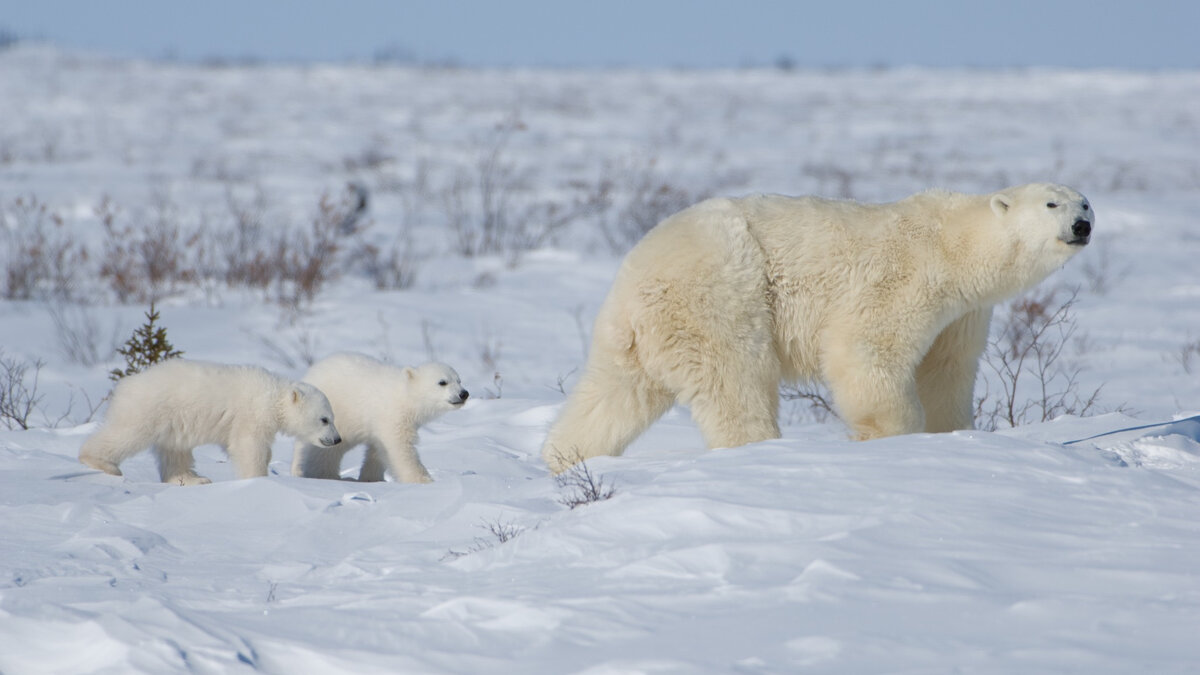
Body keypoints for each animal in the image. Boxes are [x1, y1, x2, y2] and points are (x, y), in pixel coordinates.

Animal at [79, 360, 341, 485]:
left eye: (333, 417)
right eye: (324, 419)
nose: (337, 439)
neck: (273, 395)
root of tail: (125, 385)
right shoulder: (250, 415)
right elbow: (248, 447)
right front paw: (258, 479)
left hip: (172, 422)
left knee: (175, 452)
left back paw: (194, 479)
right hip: (148, 410)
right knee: (127, 434)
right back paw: (101, 462)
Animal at [290, 353, 469, 483]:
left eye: (459, 380)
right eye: (442, 382)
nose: (464, 394)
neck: (404, 395)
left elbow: (377, 451)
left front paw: (371, 479)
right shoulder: (392, 415)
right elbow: (399, 448)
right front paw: (424, 481)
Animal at [542, 183, 1093, 473]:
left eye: (1085, 202)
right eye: (1052, 204)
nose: (1082, 226)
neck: (954, 242)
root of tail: (635, 271)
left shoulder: (962, 315)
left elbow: (947, 371)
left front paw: (953, 436)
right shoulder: (904, 277)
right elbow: (865, 350)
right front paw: (891, 438)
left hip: (636, 332)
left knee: (613, 394)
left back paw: (565, 458)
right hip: (719, 294)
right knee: (736, 379)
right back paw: (758, 449)